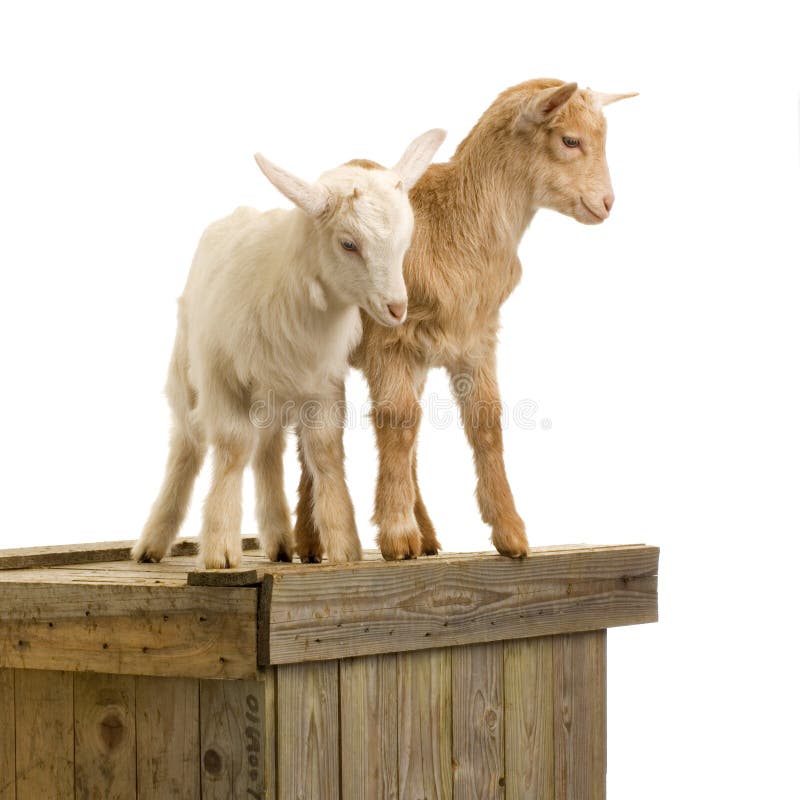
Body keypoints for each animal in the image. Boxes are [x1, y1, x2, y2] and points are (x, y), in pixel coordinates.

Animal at [132, 129, 446, 569]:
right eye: (348, 243)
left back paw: (280, 542)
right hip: (186, 372)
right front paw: (220, 549)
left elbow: (326, 451)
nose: (398, 308)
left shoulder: (323, 382)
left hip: (274, 392)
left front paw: (344, 547)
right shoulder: (221, 378)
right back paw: (152, 543)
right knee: (187, 445)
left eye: (405, 241)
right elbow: (232, 447)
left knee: (268, 451)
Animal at [293, 79, 635, 561]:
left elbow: (484, 422)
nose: (605, 204)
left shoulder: (474, 338)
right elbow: (396, 420)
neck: (455, 225)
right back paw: (308, 542)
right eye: (570, 140)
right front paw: (396, 534)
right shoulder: (390, 341)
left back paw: (426, 536)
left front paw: (511, 533)